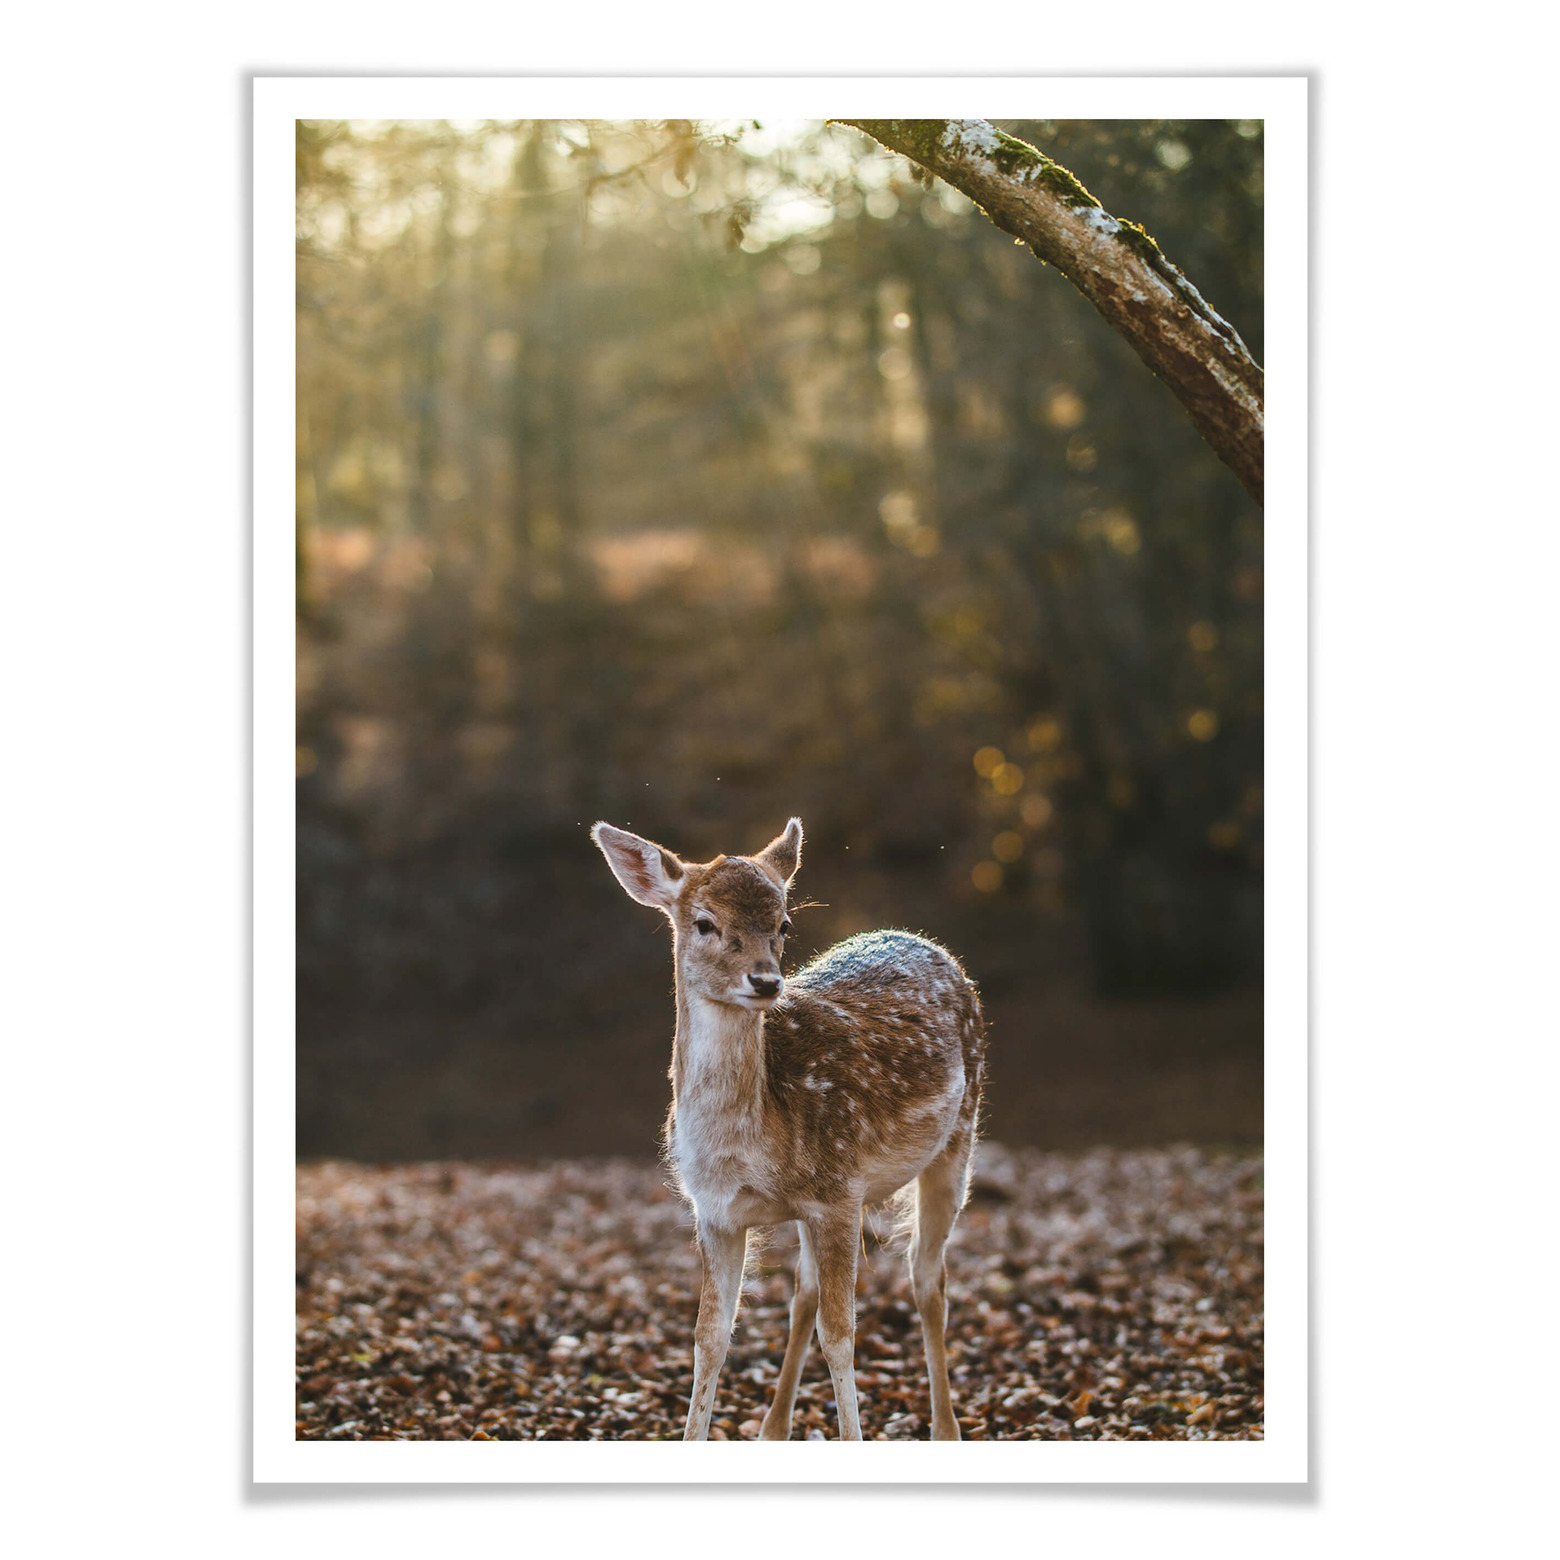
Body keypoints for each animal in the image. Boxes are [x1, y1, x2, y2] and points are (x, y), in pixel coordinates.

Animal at [591, 816, 986, 1441]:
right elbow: (709, 1338)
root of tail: (927, 942)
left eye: (783, 923)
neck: (745, 1148)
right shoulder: (716, 1212)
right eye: (704, 922)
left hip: (958, 1137)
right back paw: (772, 1428)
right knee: (804, 1292)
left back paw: (946, 1430)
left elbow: (841, 1336)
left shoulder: (841, 1192)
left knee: (929, 1280)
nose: (765, 981)